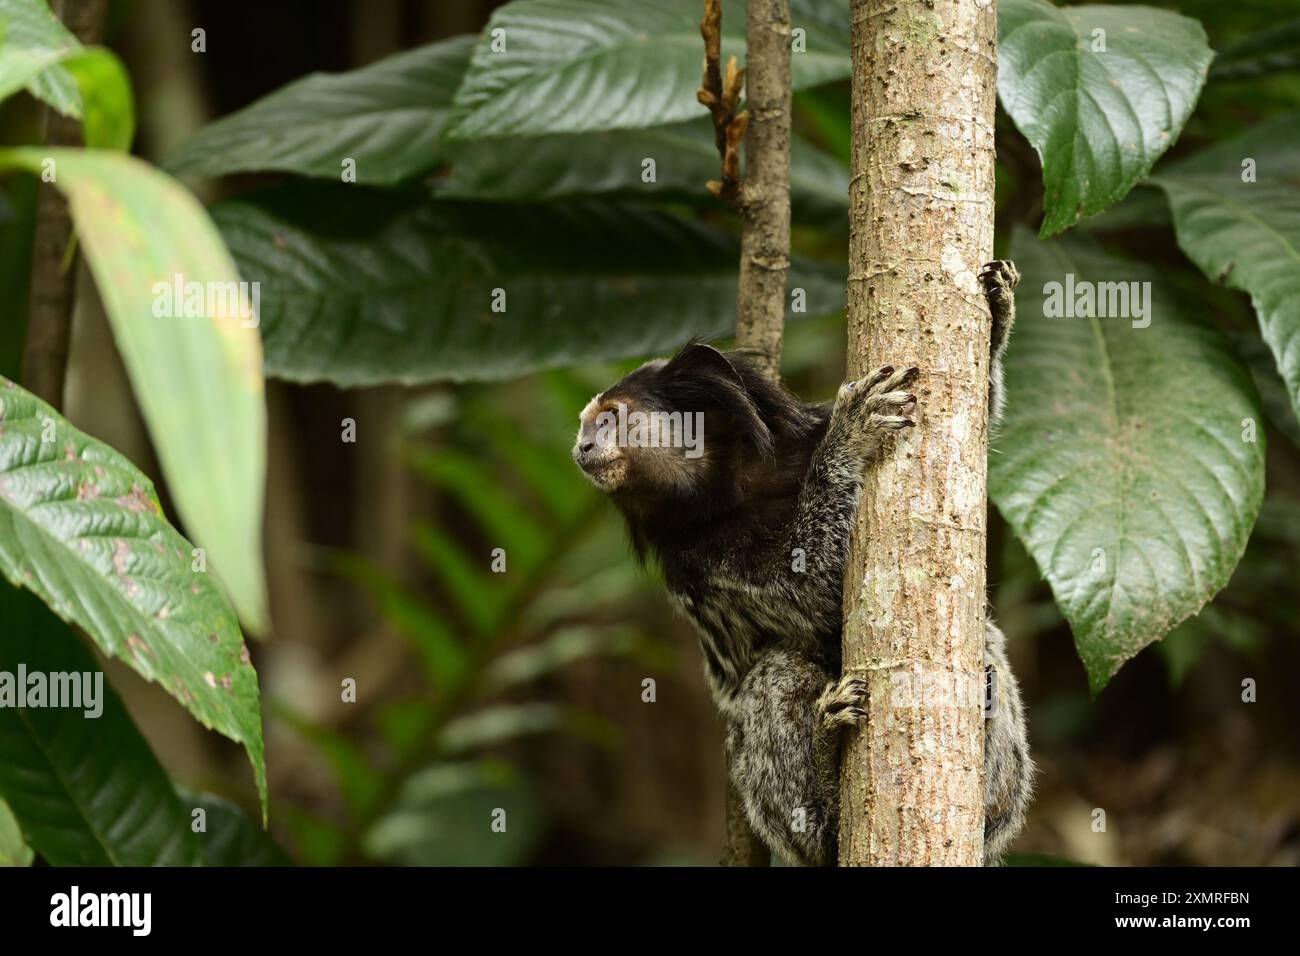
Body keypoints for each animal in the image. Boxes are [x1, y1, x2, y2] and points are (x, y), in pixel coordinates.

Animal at [572, 260, 1032, 866]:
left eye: (608, 420)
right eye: (586, 426)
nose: (580, 448)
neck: (739, 485)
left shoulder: (800, 432)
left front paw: (998, 318)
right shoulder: (697, 560)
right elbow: (819, 589)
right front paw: (848, 440)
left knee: (988, 644)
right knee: (776, 676)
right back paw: (826, 783)